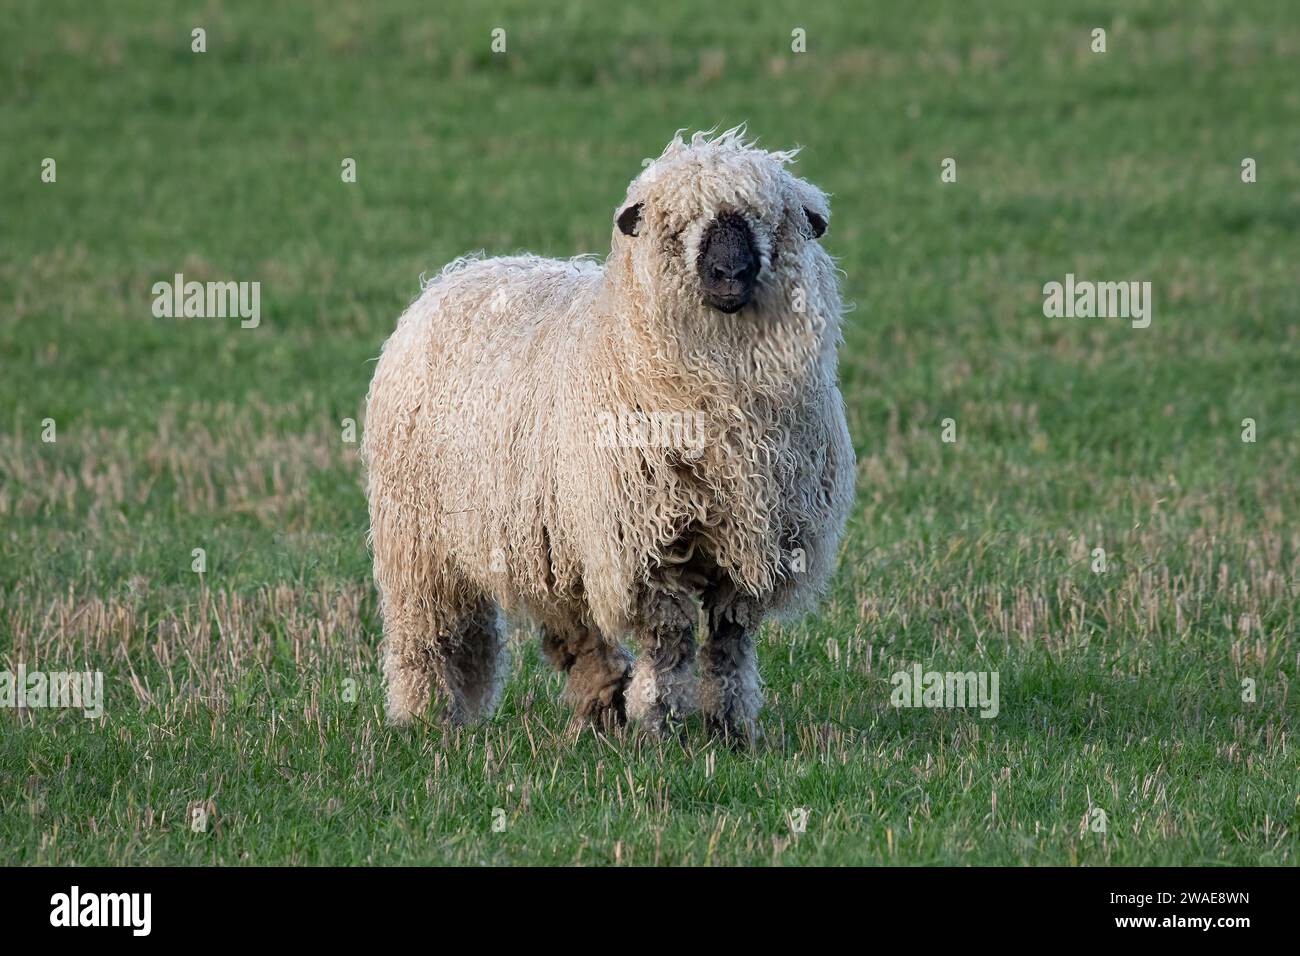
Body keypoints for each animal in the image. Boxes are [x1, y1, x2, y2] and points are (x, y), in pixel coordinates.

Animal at [361, 127, 857, 738]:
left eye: (767, 220)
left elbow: (729, 641)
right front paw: (660, 723)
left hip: (548, 539)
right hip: (420, 539)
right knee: (429, 629)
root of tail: (456, 274)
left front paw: (730, 727)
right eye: (676, 226)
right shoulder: (644, 543)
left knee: (572, 628)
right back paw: (426, 715)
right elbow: (669, 641)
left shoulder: (750, 539)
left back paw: (601, 705)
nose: (729, 274)